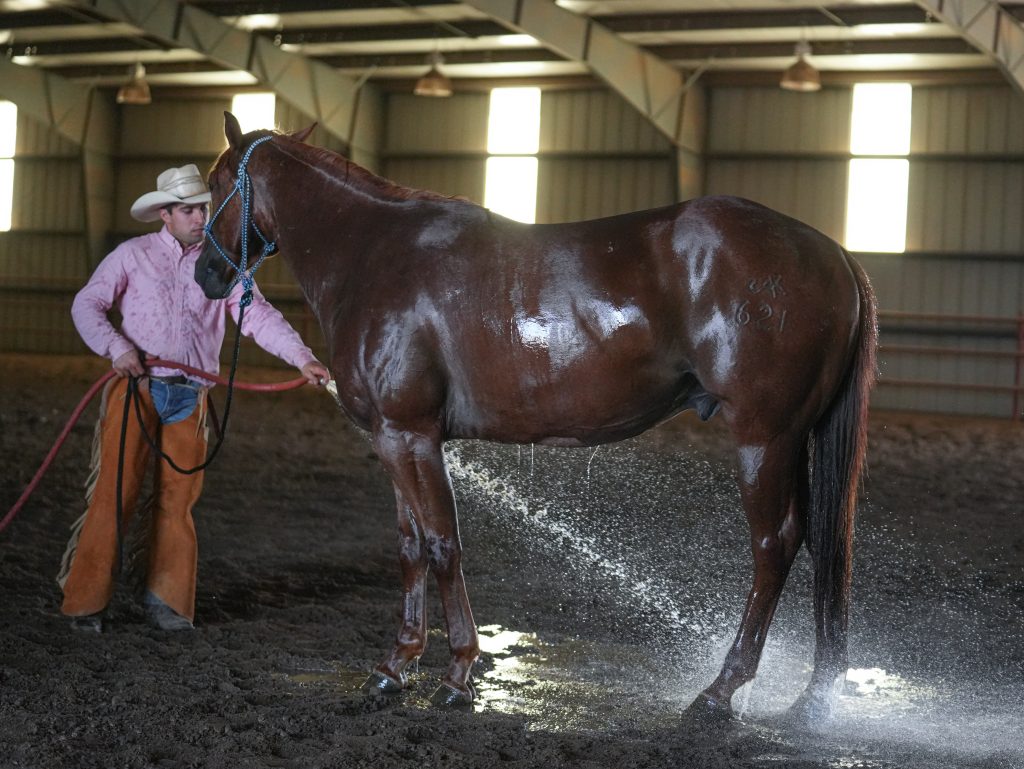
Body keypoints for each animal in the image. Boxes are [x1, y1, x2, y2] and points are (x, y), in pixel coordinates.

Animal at [196, 111, 877, 722]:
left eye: (215, 181)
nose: (205, 273)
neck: (372, 254)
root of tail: (835, 253)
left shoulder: (411, 435)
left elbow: (442, 545)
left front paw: (457, 675)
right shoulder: (392, 440)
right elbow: (411, 547)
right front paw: (394, 668)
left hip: (765, 438)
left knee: (774, 545)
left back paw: (718, 692)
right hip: (795, 439)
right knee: (818, 543)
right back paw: (811, 700)